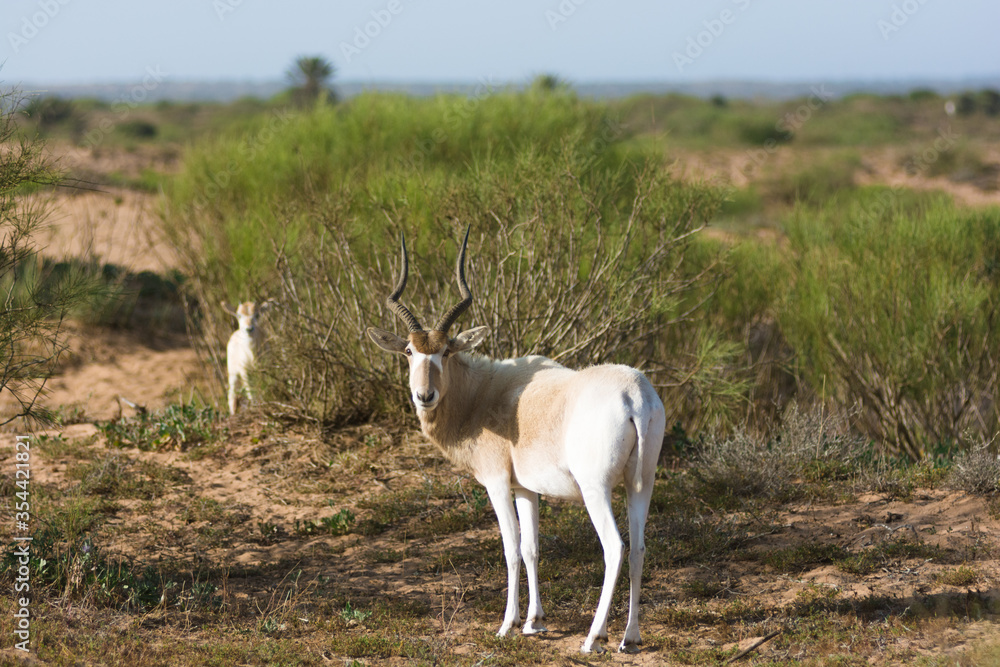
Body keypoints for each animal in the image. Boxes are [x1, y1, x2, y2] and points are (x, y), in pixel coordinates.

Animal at [366, 229, 666, 654]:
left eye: (446, 350)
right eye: (409, 350)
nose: (425, 396)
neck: (484, 392)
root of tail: (635, 394)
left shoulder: (496, 483)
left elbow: (510, 548)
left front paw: (507, 624)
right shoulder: (526, 487)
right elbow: (531, 548)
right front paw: (534, 623)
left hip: (596, 489)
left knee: (615, 546)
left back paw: (594, 637)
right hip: (641, 484)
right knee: (639, 547)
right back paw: (631, 638)